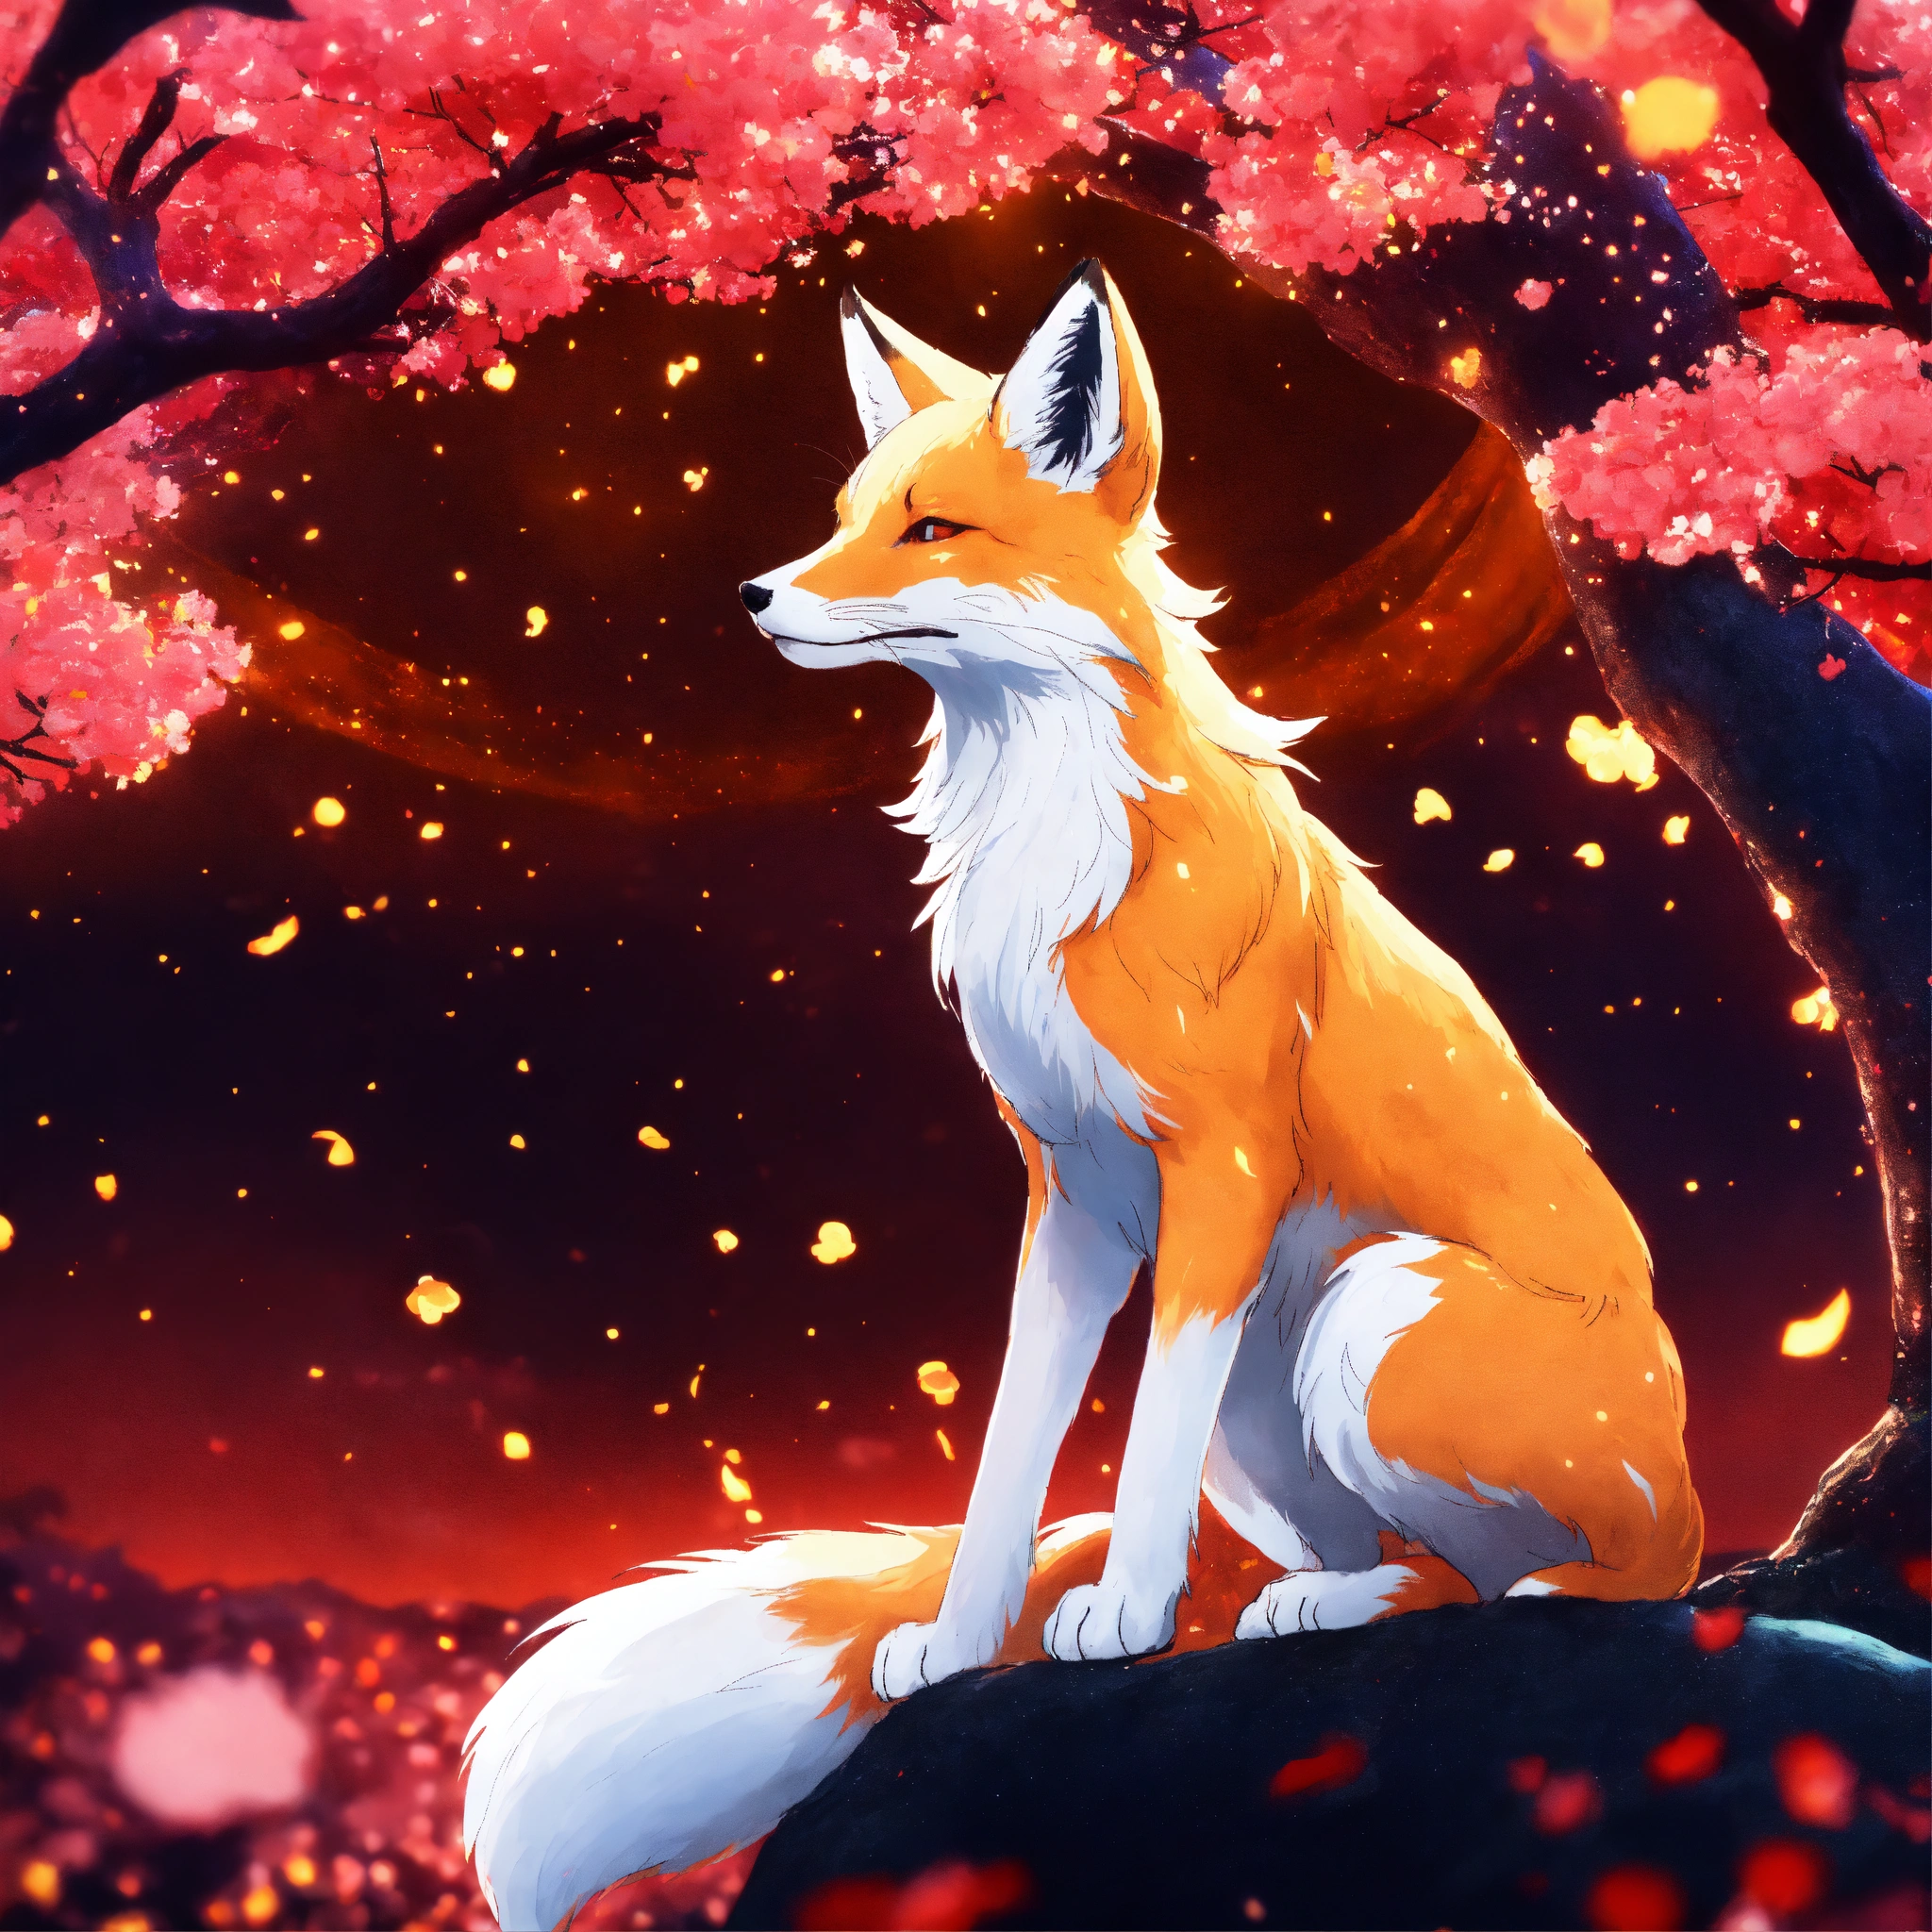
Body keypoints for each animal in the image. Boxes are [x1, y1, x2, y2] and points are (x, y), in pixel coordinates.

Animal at [462, 261, 1702, 1930]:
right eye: (847, 512)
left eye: (931, 528)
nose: (755, 597)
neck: (1050, 853)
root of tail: (1689, 1465)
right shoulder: (1073, 1197)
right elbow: (1011, 1446)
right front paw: (962, 1644)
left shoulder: (1221, 1175)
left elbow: (1136, 1436)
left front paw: (1120, 1619)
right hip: (1274, 1392)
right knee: (1429, 1574)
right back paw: (1322, 1599)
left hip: (1376, 1309)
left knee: (1586, 1579)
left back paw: (1512, 1588)